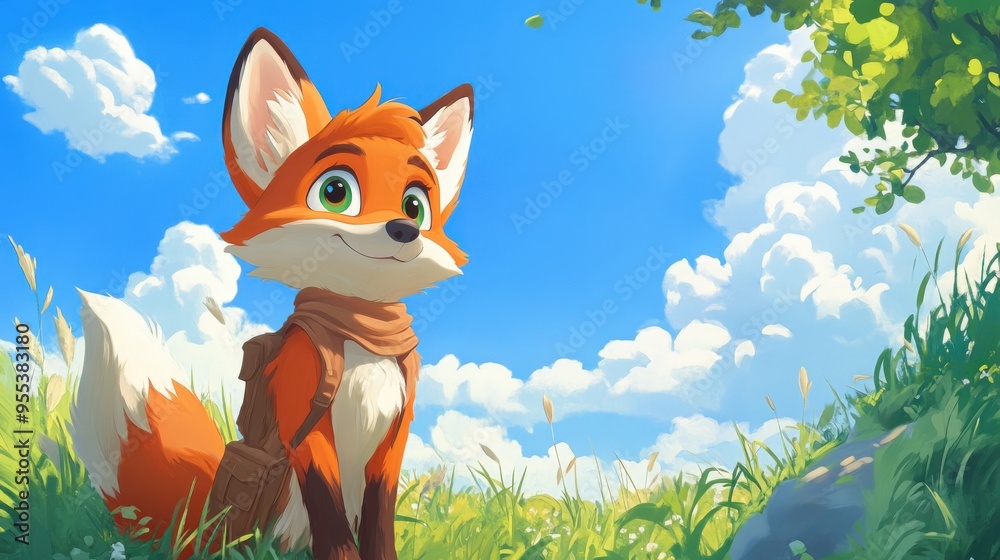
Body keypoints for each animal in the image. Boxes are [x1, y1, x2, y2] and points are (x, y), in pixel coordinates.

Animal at [72, 28, 473, 560]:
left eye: (415, 205)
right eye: (336, 193)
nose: (404, 230)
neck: (363, 339)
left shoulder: (394, 435)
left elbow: (380, 522)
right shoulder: (307, 426)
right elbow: (332, 519)